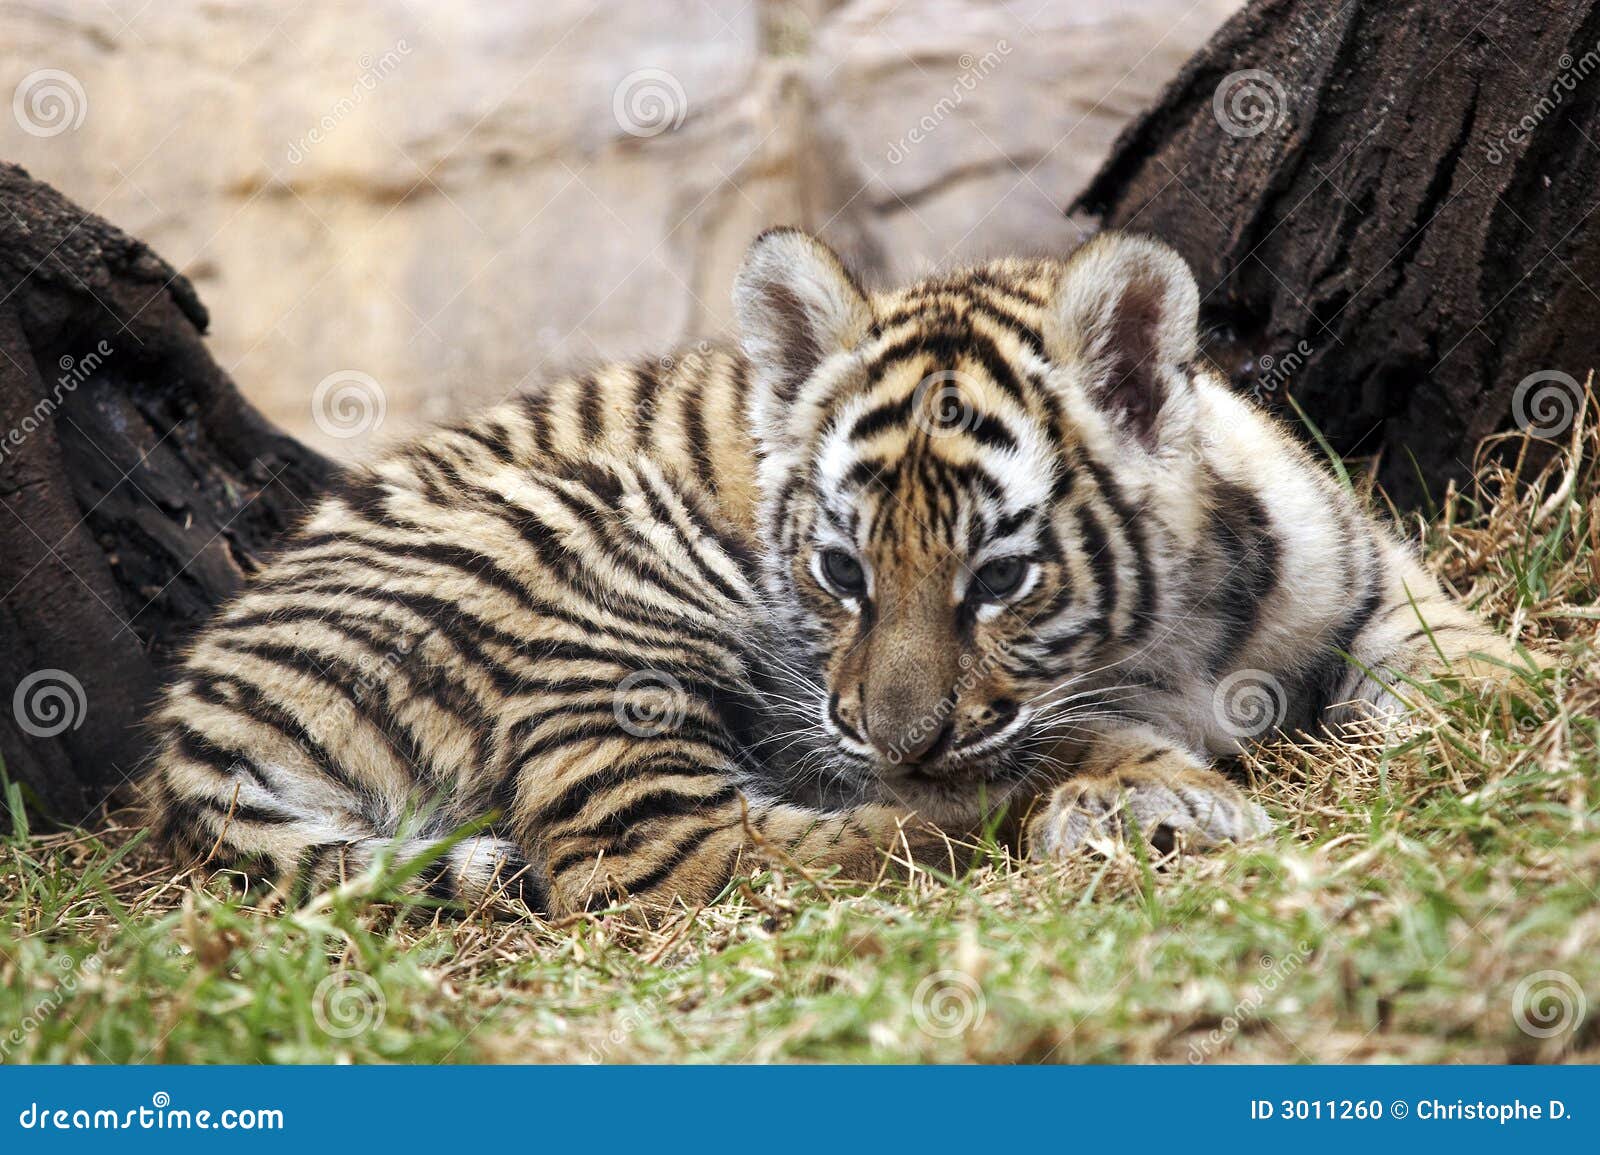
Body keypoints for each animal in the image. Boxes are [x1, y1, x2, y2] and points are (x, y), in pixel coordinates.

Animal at [141, 226, 1515, 916]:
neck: (1174, 637)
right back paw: (1038, 816)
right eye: (841, 573)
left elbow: (1471, 668)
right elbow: (1073, 736)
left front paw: (1468, 737)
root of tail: (193, 722)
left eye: (998, 580)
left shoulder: (1367, 571)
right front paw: (1138, 792)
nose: (893, 741)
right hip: (603, 572)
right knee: (658, 859)